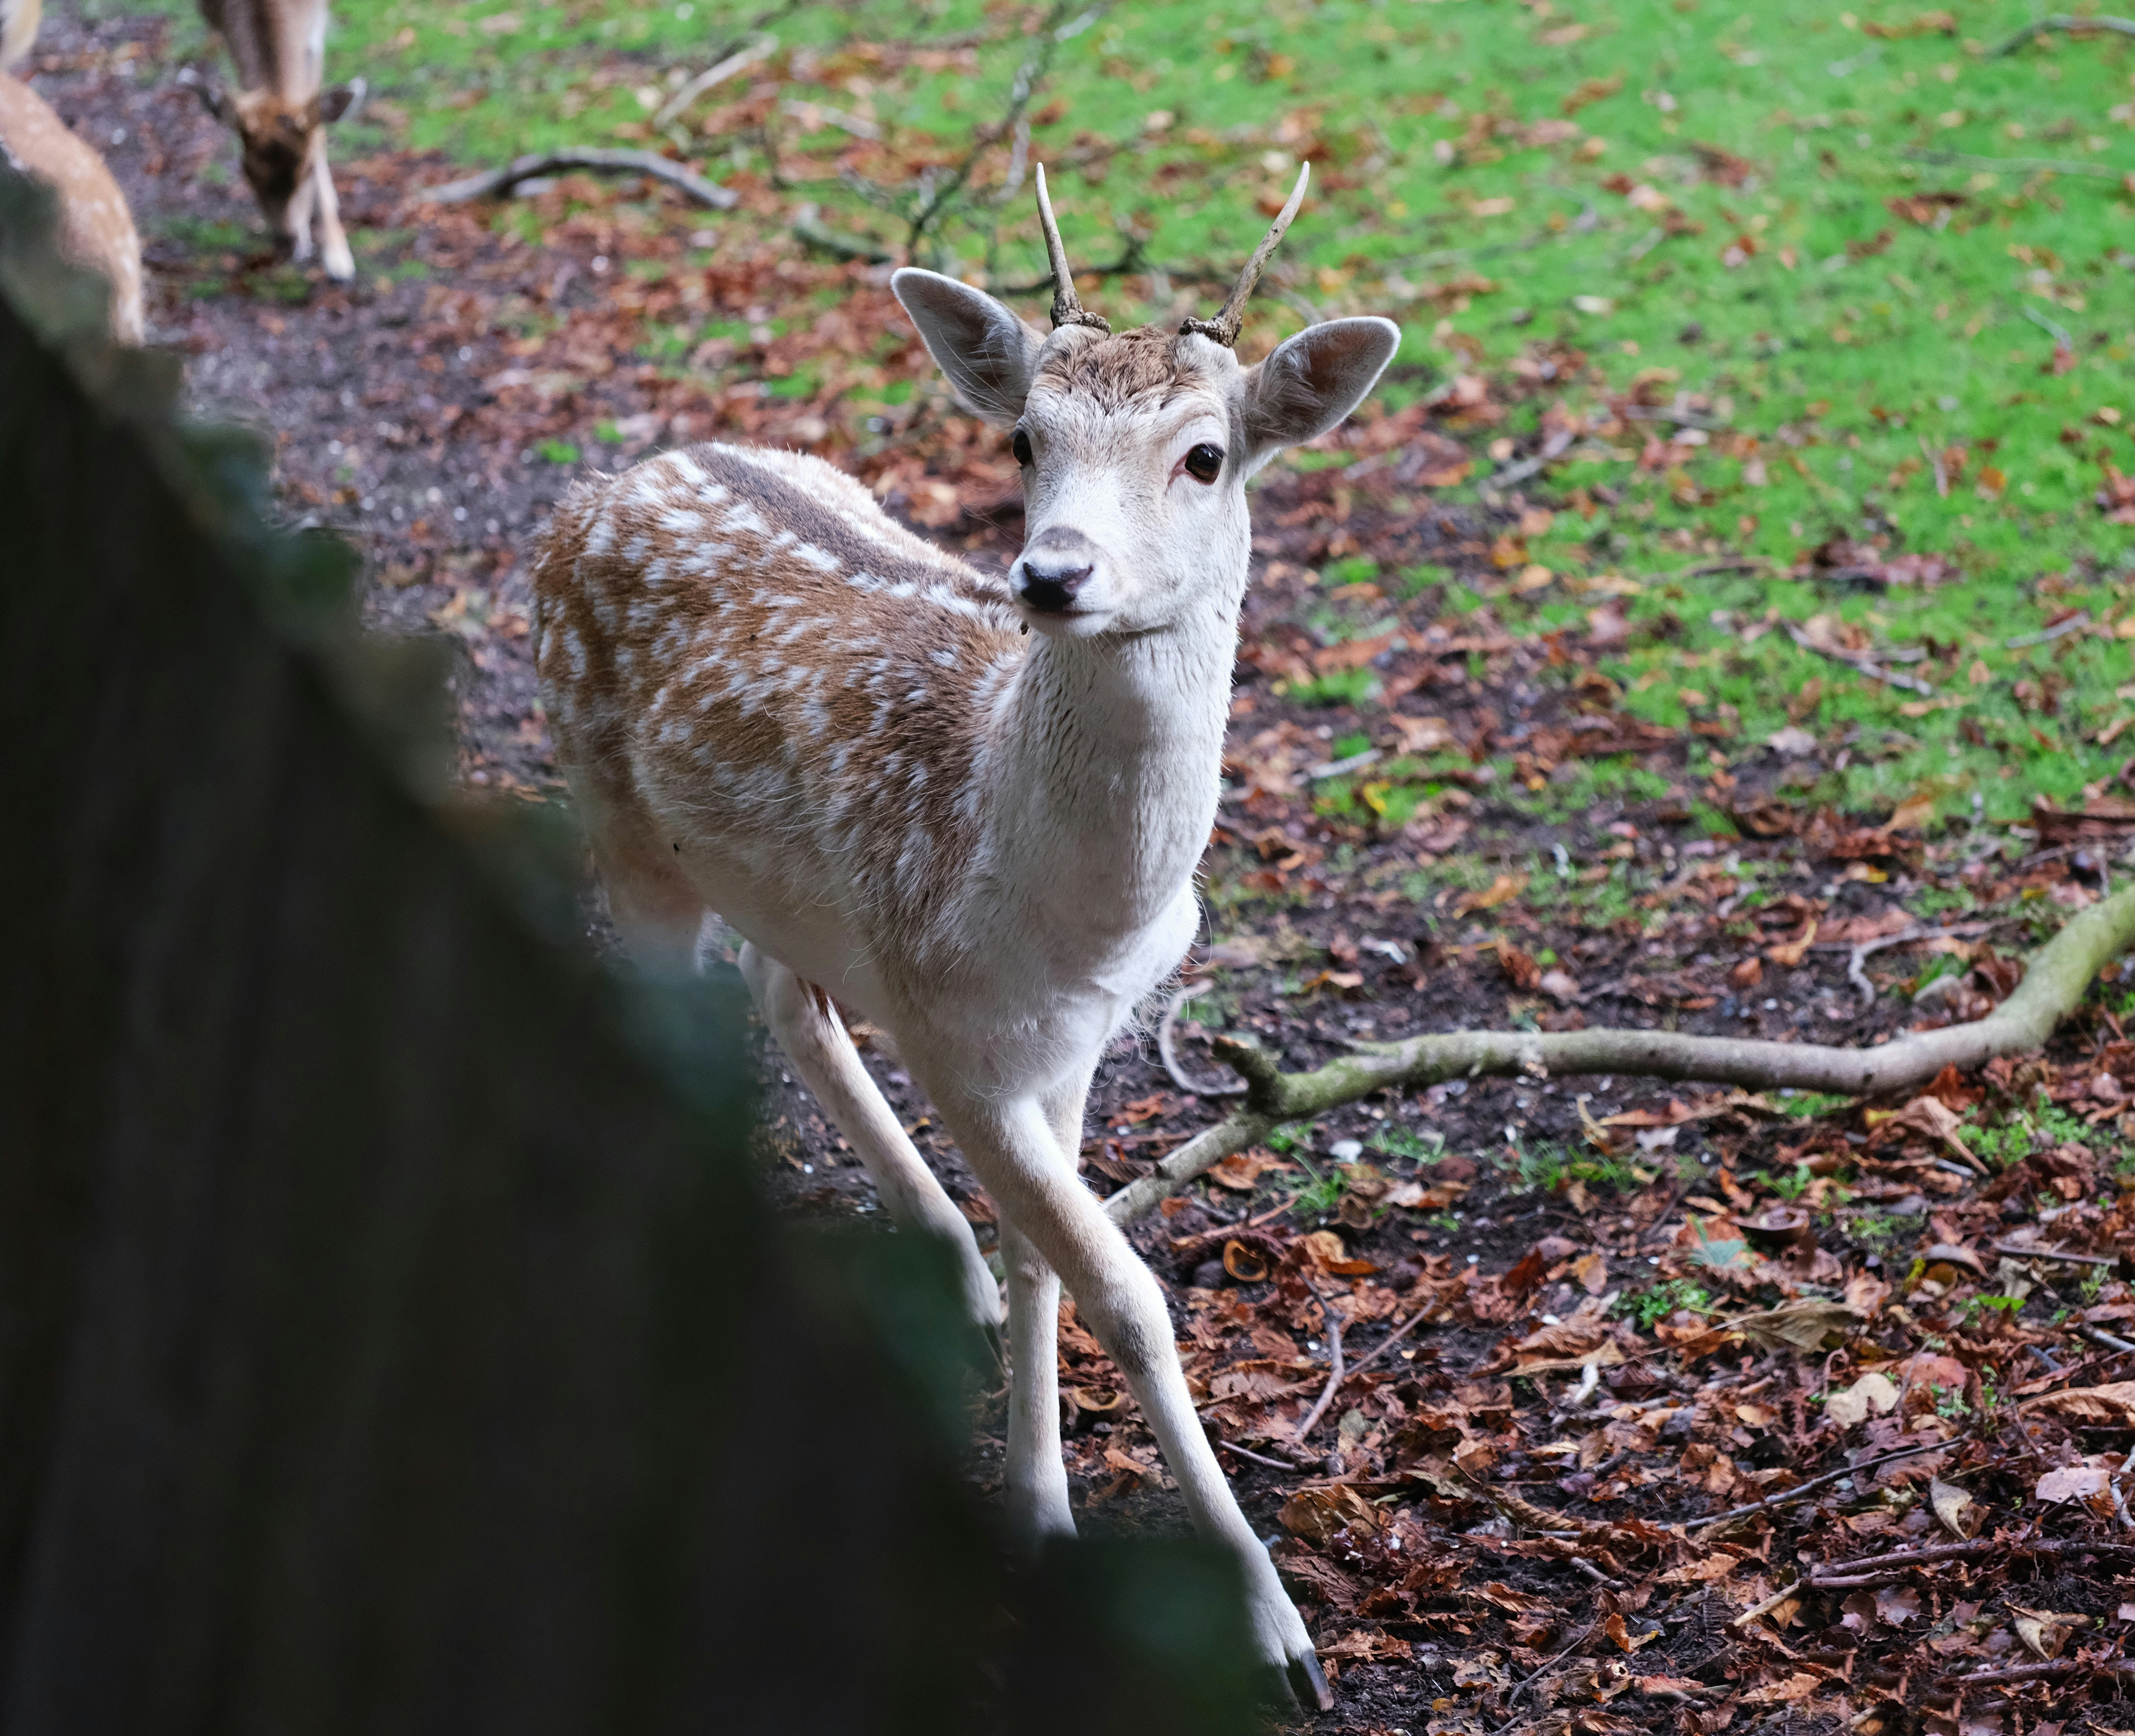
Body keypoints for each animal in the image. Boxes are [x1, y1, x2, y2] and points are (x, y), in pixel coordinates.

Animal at [191, 0, 359, 281]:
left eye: (309, 170)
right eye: (246, 171)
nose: (287, 244)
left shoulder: (316, 30)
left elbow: (318, 121)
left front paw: (339, 259)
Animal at [532, 163, 1397, 1708]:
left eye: (1206, 456)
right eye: (1022, 436)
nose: (1051, 572)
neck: (1068, 909)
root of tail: (594, 491)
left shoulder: (1077, 1036)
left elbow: (1050, 1255)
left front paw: (1040, 1504)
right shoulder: (952, 1033)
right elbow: (1123, 1286)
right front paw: (1276, 1630)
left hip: (777, 880)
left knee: (780, 988)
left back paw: (935, 1251)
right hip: (613, 814)